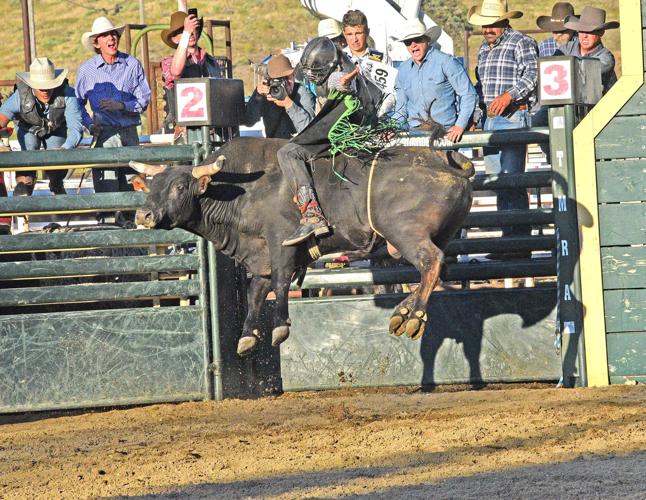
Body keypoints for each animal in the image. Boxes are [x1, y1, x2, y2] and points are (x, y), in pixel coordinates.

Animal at [130, 136, 473, 356]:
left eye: (179, 186)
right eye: (152, 186)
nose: (143, 215)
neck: (240, 190)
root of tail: (445, 162)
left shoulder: (281, 243)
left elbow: (281, 282)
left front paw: (280, 327)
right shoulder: (260, 256)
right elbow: (256, 292)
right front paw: (247, 336)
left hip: (405, 233)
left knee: (431, 262)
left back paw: (413, 316)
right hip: (436, 234)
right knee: (438, 269)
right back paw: (403, 313)